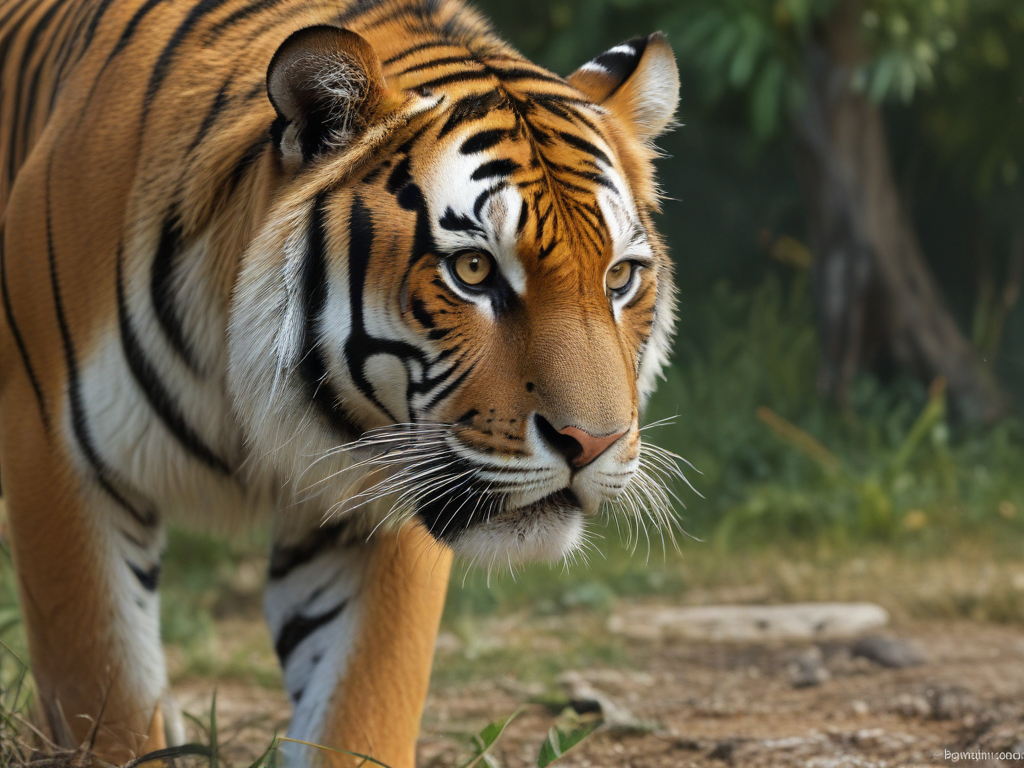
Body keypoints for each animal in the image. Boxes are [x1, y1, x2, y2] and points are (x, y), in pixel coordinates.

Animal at [0, 0, 680, 763]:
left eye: (619, 278)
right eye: (473, 270)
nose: (593, 444)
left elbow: (359, 710)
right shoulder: (56, 459)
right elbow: (105, 701)